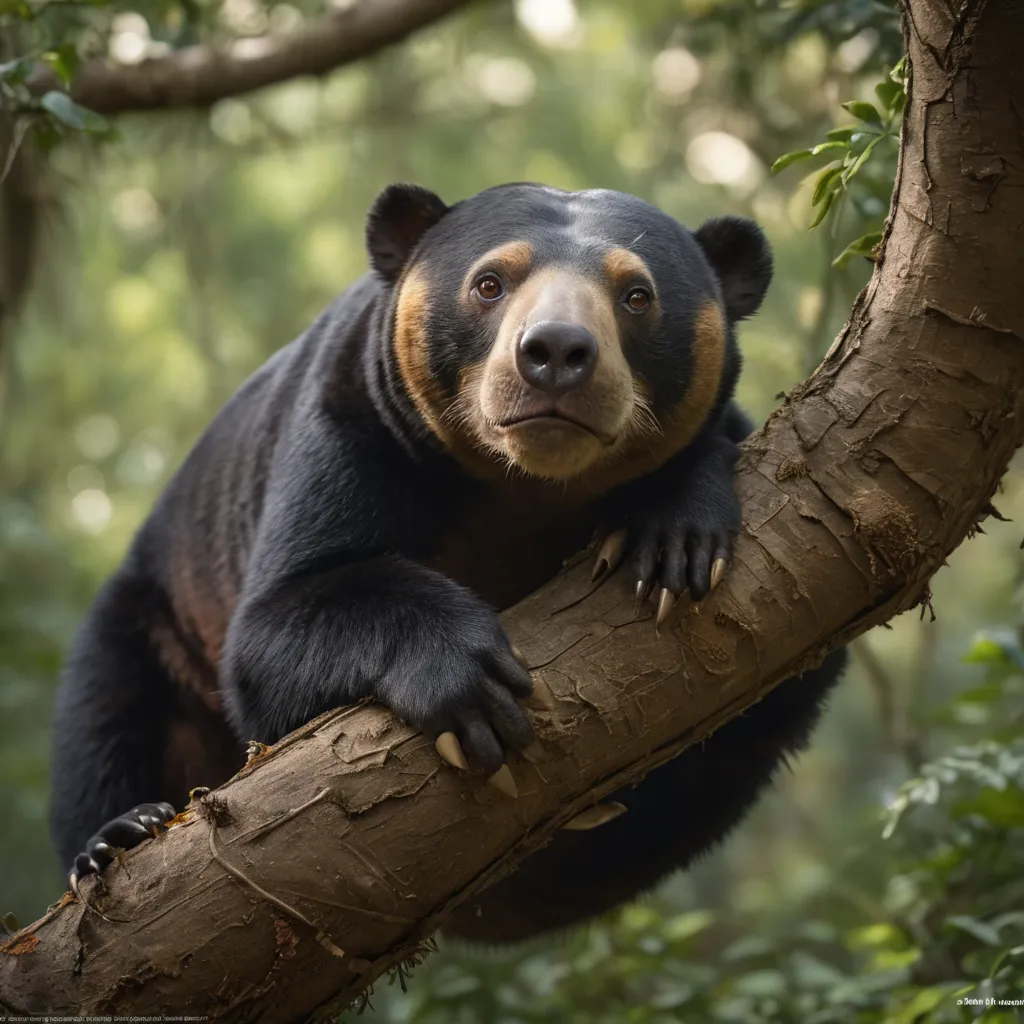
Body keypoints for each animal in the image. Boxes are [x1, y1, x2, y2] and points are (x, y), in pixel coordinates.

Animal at [49, 182, 847, 943]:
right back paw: (121, 833)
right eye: (489, 283)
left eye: (637, 295)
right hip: (153, 615)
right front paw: (473, 685)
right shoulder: (352, 424)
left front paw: (671, 539)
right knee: (103, 715)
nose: (556, 352)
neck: (521, 488)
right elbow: (277, 626)